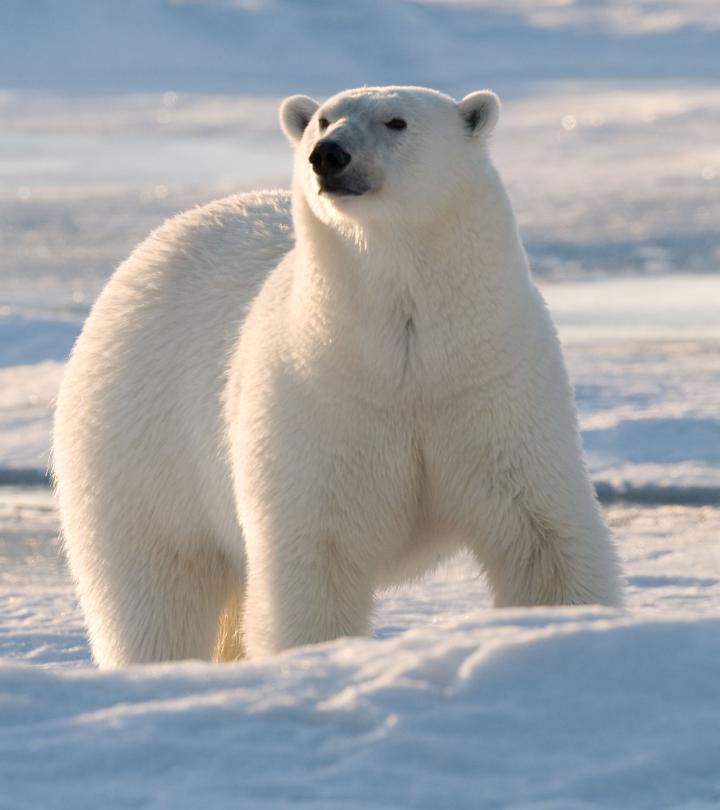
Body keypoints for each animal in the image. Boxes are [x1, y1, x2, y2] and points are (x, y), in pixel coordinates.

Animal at [53, 85, 623, 668]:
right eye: (324, 119)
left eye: (396, 121)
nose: (328, 155)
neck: (405, 360)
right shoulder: (318, 402)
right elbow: (315, 557)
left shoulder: (493, 384)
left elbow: (541, 534)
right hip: (141, 447)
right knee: (156, 592)